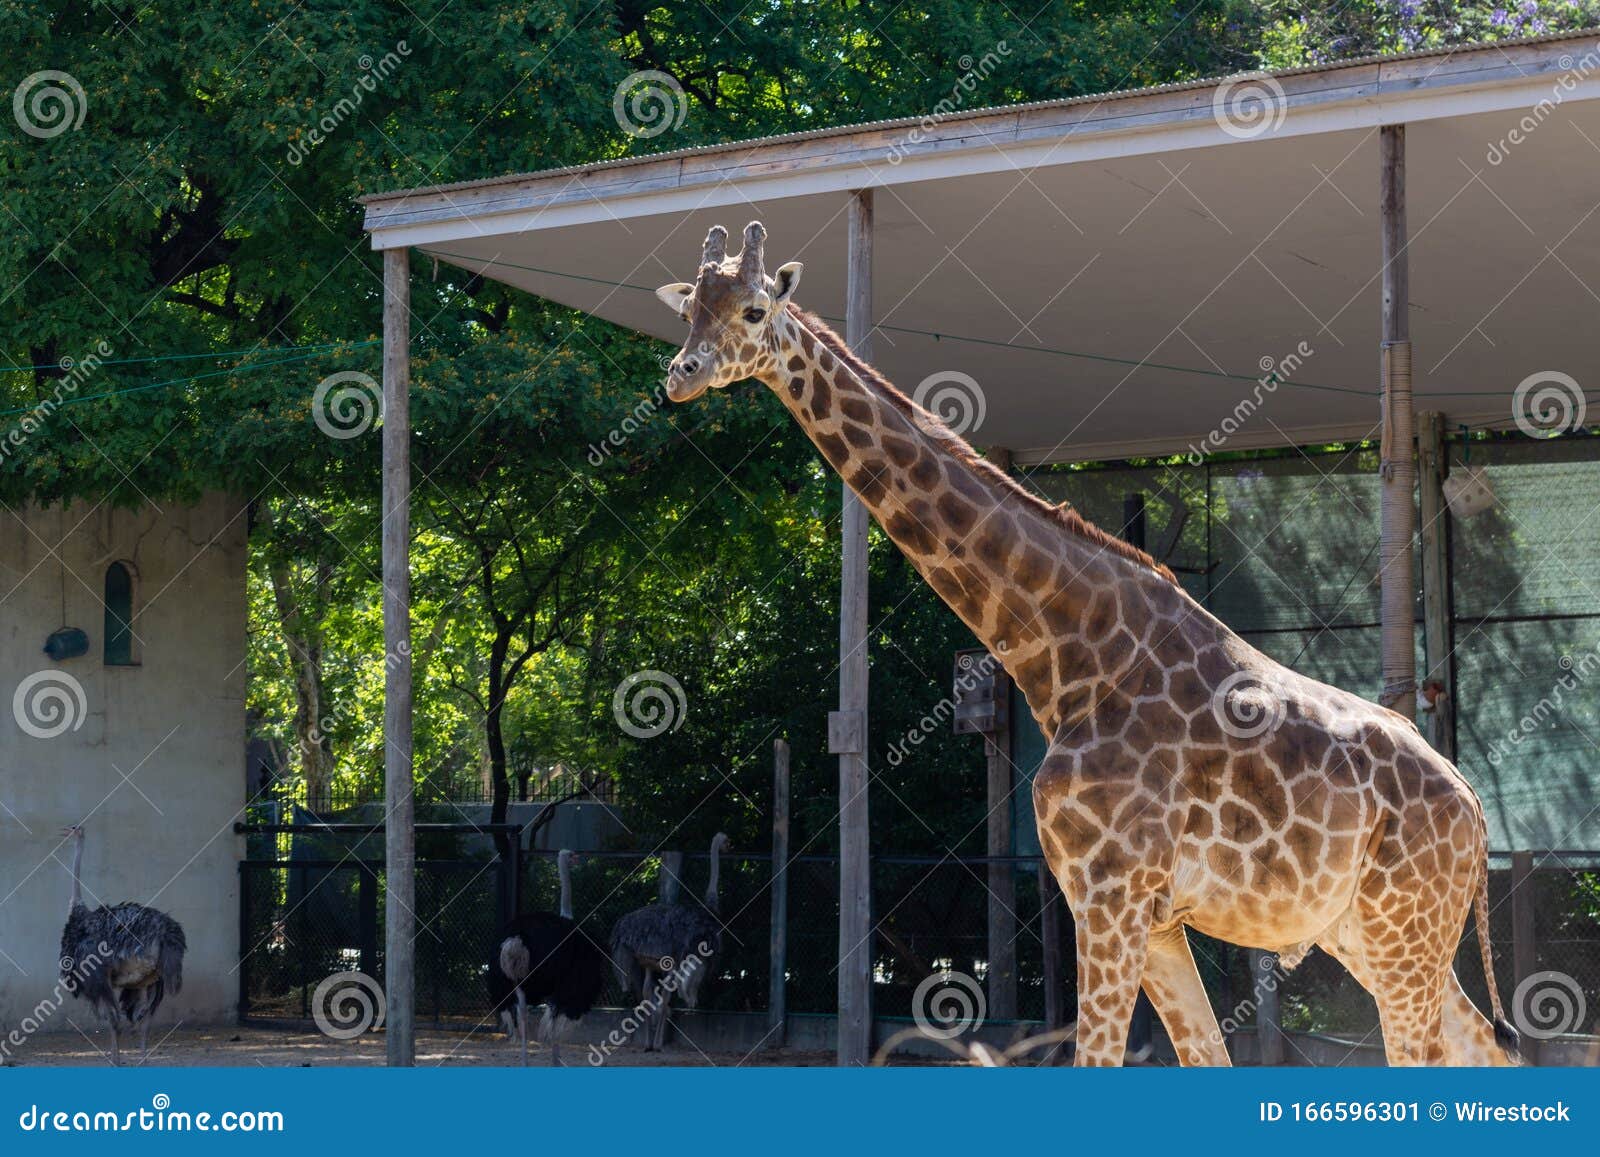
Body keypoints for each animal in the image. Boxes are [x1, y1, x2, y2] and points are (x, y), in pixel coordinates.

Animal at [654, 221, 1519, 1067]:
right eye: (690, 307)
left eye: (754, 311)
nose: (680, 375)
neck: (1069, 658)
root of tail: (1475, 810)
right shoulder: (1148, 914)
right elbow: (1204, 1057)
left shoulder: (1111, 894)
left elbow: (1098, 1057)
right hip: (1368, 931)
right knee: (1485, 1045)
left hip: (1401, 929)